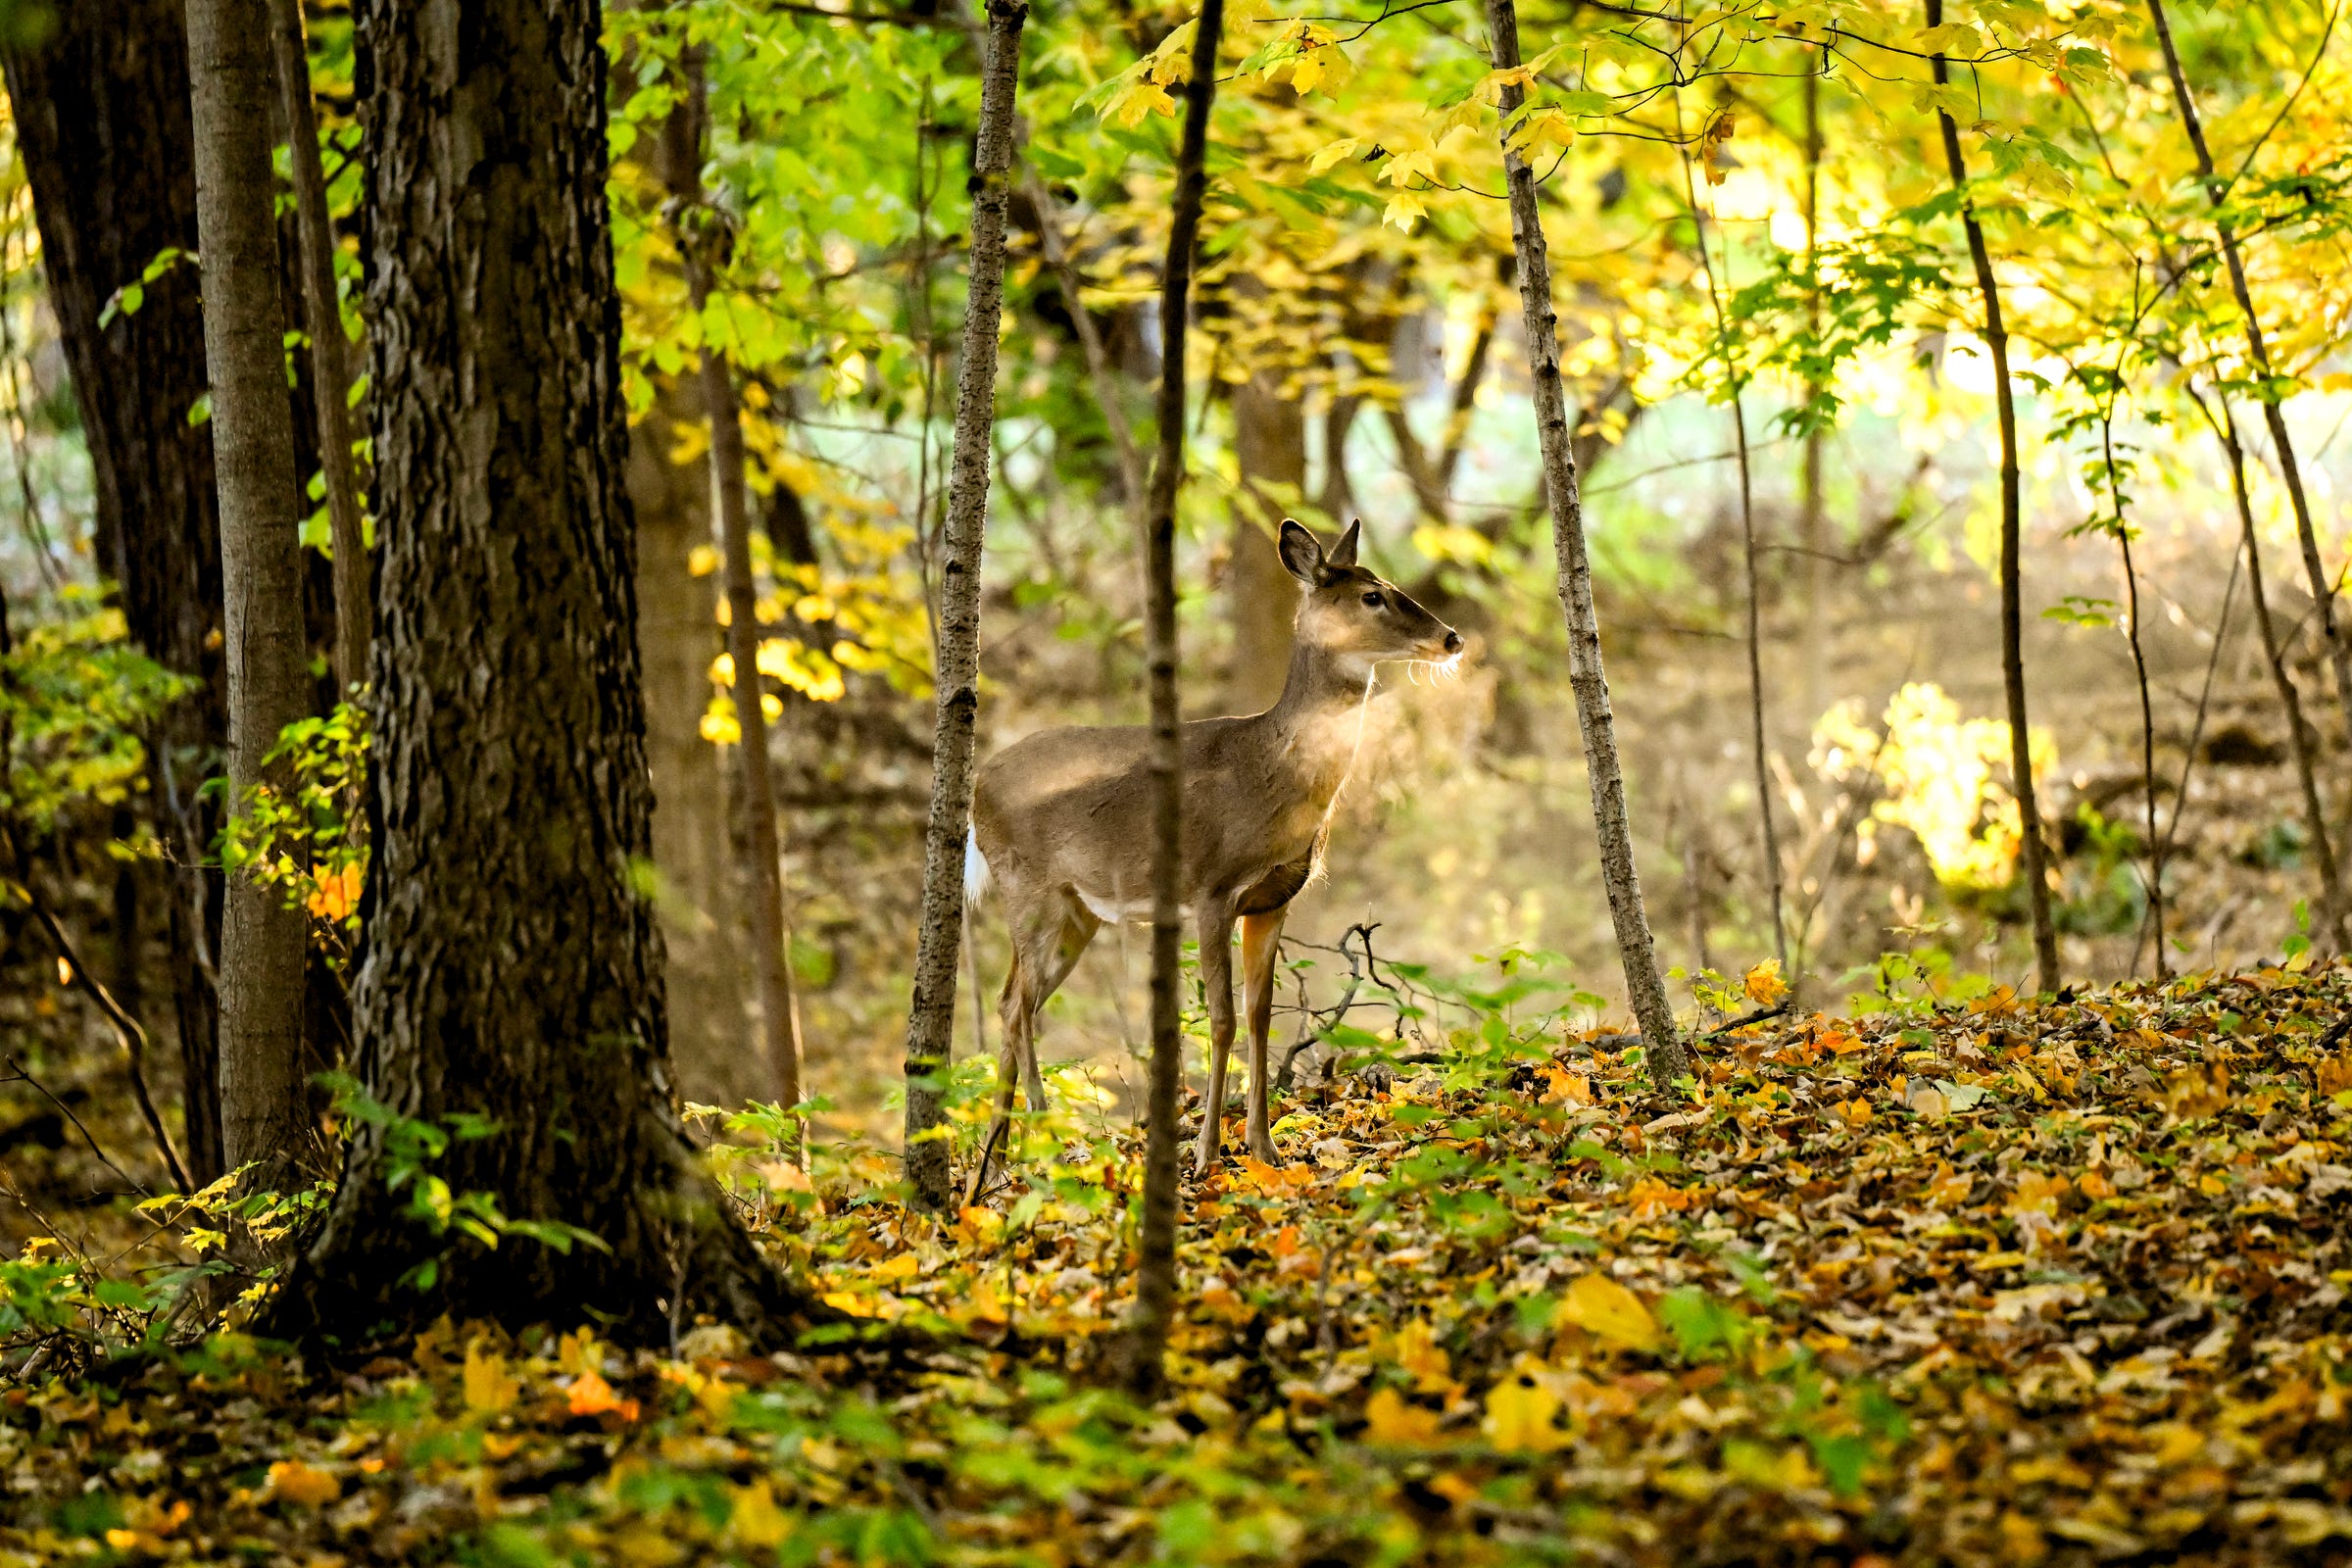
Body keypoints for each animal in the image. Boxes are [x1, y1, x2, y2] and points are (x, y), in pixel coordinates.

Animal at [962, 518, 1462, 1196]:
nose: (1451, 637)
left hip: (1077, 910)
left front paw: (1264, 1147)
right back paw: (1049, 1144)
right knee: (1017, 1008)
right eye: (1372, 596)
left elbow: (1259, 1015)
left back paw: (997, 1164)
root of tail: (976, 790)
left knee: (1012, 998)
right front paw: (1205, 1155)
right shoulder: (1209, 889)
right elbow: (1220, 1019)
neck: (1270, 774)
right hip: (1029, 886)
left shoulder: (1273, 900)